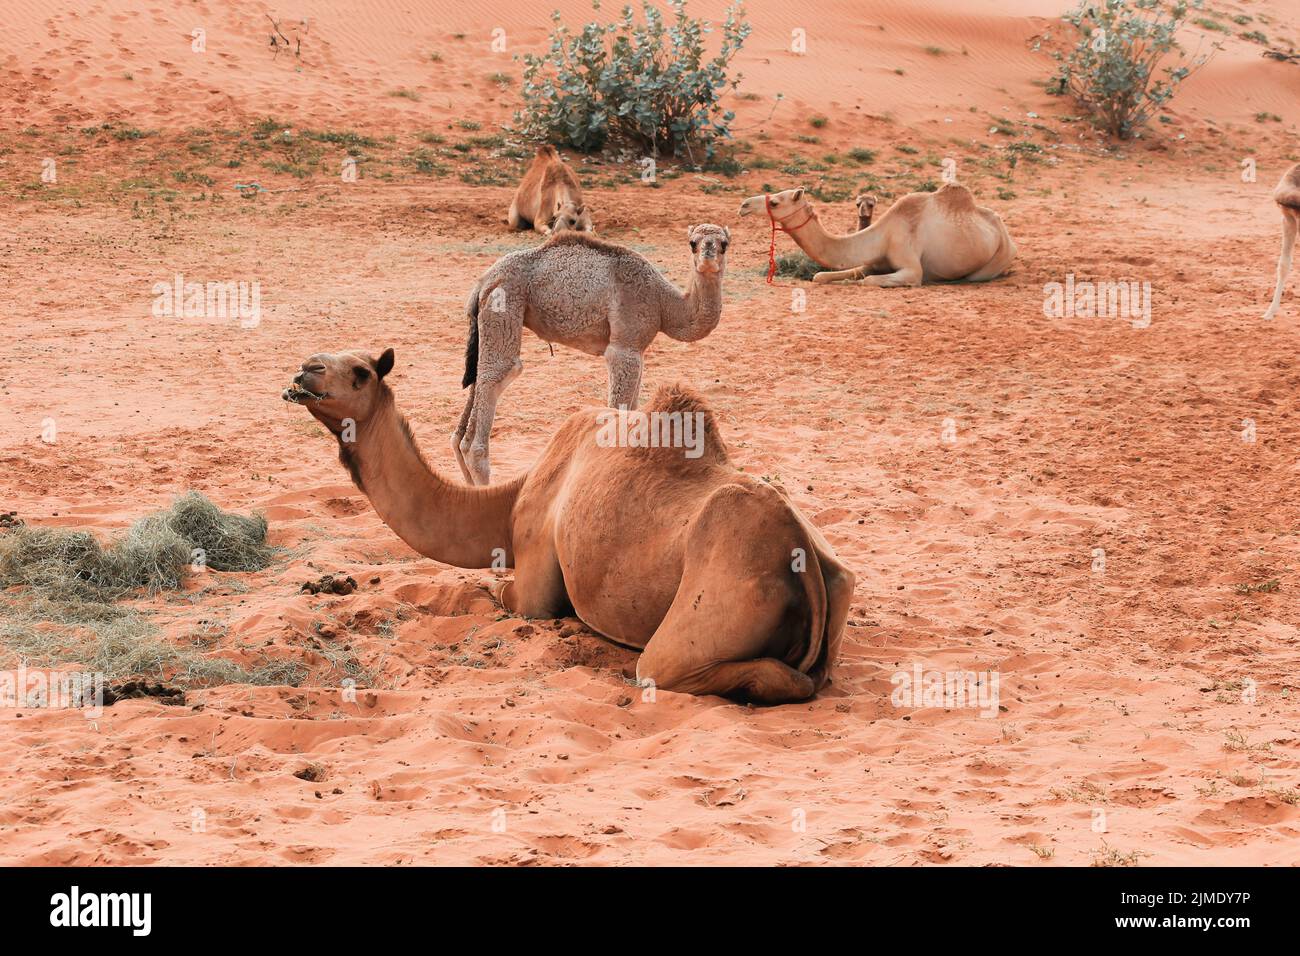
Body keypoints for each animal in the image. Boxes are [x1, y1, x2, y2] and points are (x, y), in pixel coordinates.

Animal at [281, 350, 854, 704]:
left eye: (360, 372)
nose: (305, 372)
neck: (510, 501)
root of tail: (797, 551)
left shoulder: (533, 572)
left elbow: (503, 595)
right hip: (837, 573)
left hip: (706, 612)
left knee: (681, 668)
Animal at [453, 225, 730, 486]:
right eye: (692, 243)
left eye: (724, 244)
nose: (707, 255)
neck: (665, 305)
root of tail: (483, 282)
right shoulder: (624, 346)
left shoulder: (638, 349)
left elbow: (634, 408)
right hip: (504, 303)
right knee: (499, 376)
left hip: (485, 324)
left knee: (472, 399)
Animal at [738, 183, 1016, 286]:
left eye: (775, 202)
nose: (743, 205)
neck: (883, 236)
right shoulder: (869, 263)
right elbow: (820, 275)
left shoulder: (911, 268)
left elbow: (869, 281)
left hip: (997, 259)